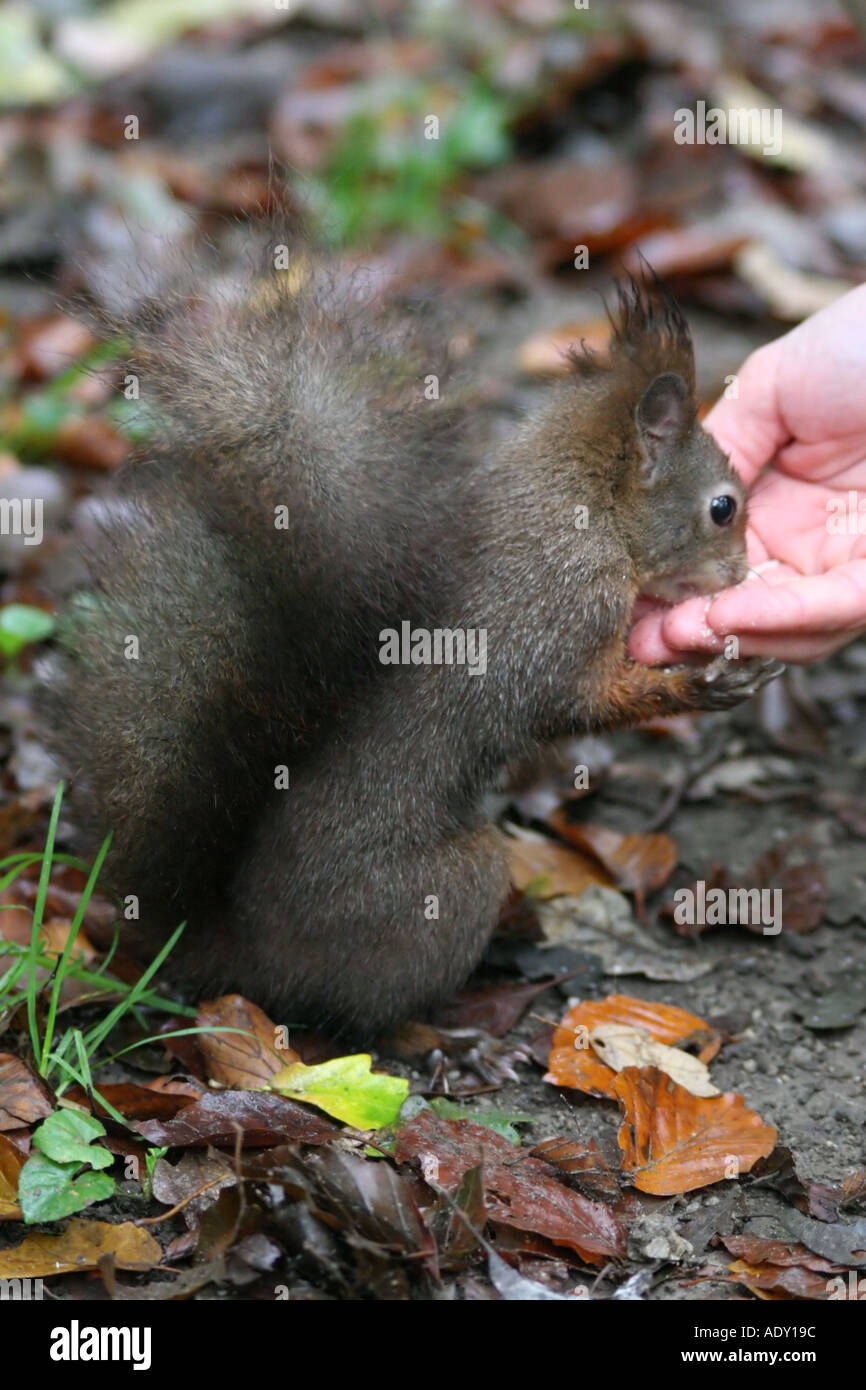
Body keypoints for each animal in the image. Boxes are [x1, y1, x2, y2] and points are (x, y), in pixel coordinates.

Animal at [43, 245, 783, 1038]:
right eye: (722, 508)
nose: (740, 572)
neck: (584, 504)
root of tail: (238, 952)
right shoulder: (556, 612)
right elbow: (577, 702)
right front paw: (703, 681)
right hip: (450, 888)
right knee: (371, 1017)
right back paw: (457, 1032)